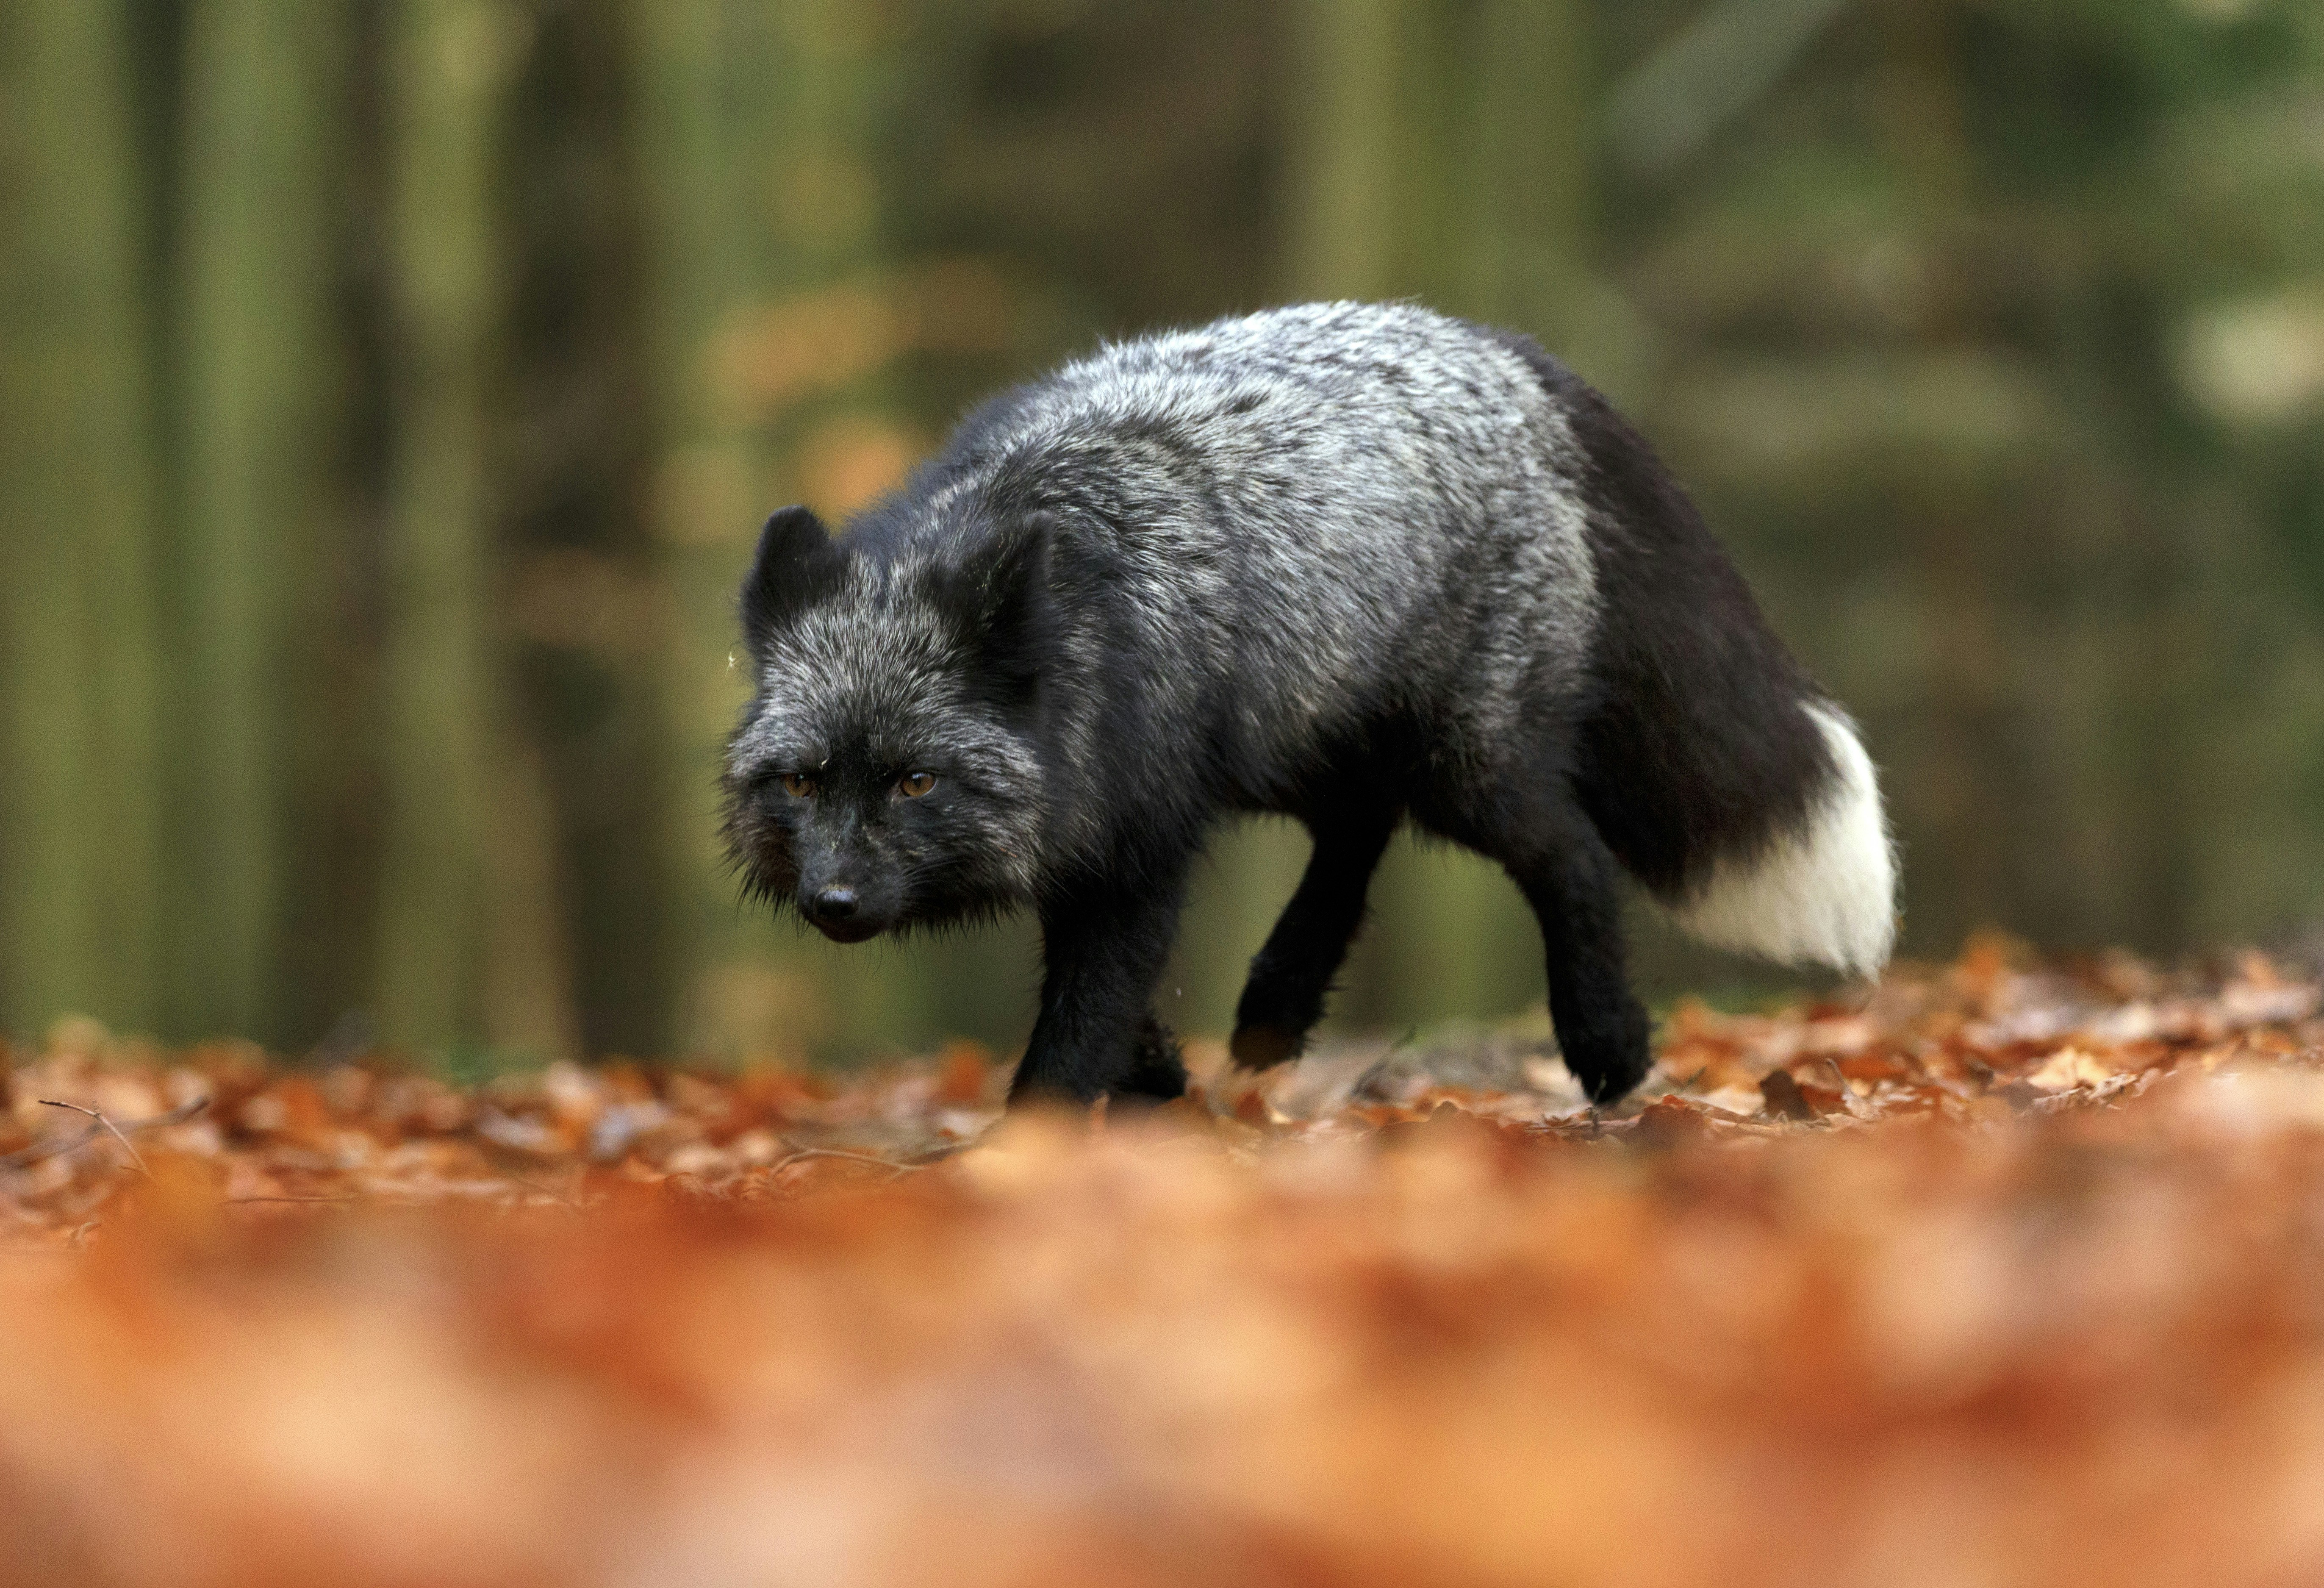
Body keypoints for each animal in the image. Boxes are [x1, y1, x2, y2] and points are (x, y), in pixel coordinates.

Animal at [724, 302, 1896, 1108]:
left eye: (916, 781)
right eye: (803, 782)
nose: (832, 901)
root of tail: (1506, 350)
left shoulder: (1141, 848)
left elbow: (1074, 1030)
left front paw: (1025, 1157)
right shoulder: (1097, 825)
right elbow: (1111, 1003)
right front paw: (1156, 1080)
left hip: (1467, 768)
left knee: (1567, 855)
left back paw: (1605, 1045)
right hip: (1294, 739)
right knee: (1356, 832)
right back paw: (1275, 1008)